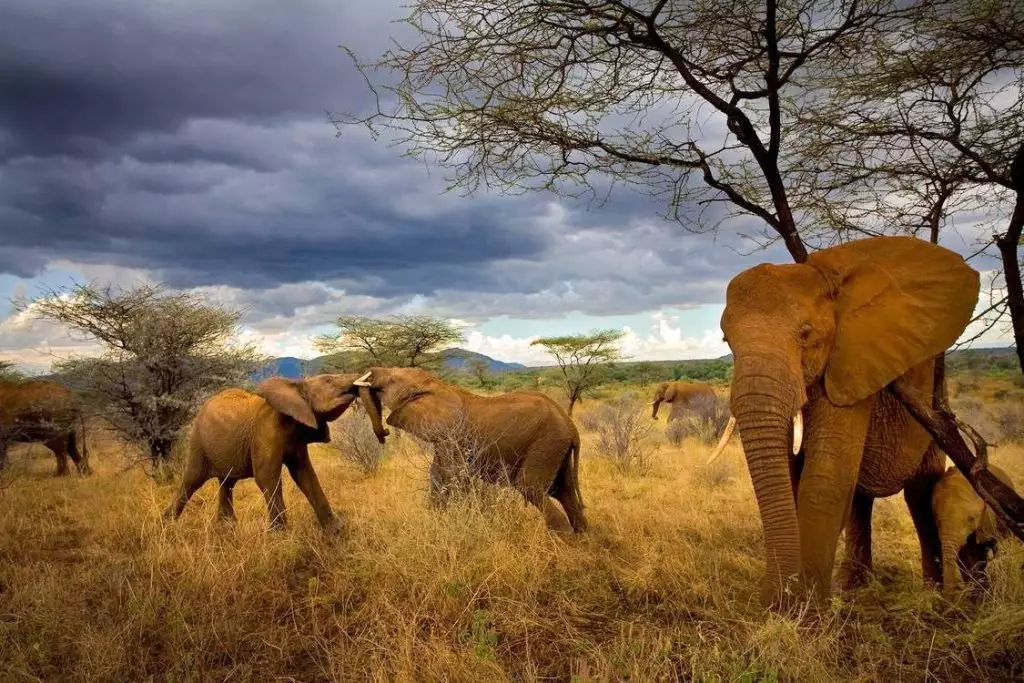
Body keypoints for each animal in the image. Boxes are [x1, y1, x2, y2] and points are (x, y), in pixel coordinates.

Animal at [161, 374, 389, 532]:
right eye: (328, 380)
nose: (385, 433)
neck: (295, 386)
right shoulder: (266, 431)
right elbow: (267, 477)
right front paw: (280, 535)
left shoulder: (297, 436)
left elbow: (305, 474)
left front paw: (336, 531)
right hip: (198, 441)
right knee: (192, 480)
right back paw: (166, 524)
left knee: (227, 482)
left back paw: (227, 527)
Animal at [352, 368, 589, 532]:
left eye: (392, 381)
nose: (384, 434)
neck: (436, 384)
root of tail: (571, 426)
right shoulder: (445, 438)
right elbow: (437, 476)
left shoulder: (452, 436)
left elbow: (452, 476)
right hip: (556, 448)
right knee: (564, 492)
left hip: (546, 442)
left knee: (530, 487)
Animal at [716, 236, 978, 610]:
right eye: (727, 342)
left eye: (805, 333)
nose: (770, 600)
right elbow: (794, 475)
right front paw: (798, 602)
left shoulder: (849, 365)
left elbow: (824, 476)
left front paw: (809, 609)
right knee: (860, 499)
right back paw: (854, 589)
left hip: (934, 407)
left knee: (920, 492)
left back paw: (931, 594)